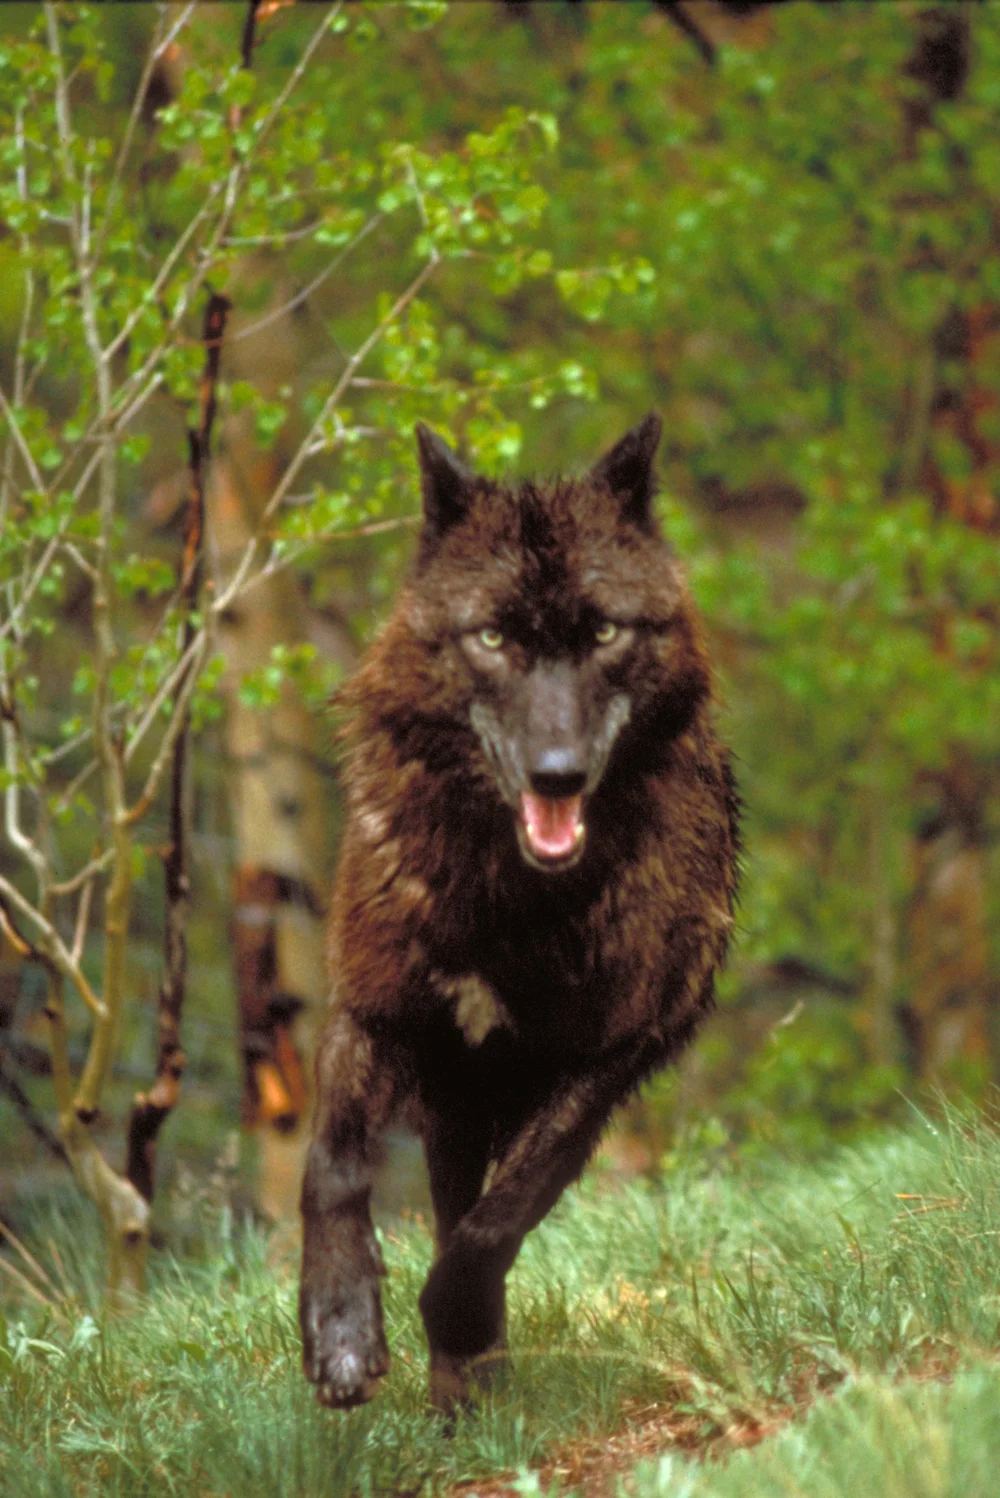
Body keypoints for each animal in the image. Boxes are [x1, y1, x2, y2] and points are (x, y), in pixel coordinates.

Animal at [299, 414, 740, 1411]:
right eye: (494, 635)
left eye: (605, 630)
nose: (558, 774)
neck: (507, 901)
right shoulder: (376, 1007)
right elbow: (332, 1166)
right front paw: (341, 1329)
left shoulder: (608, 1057)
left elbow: (495, 1226)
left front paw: (457, 1324)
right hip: (456, 1098)